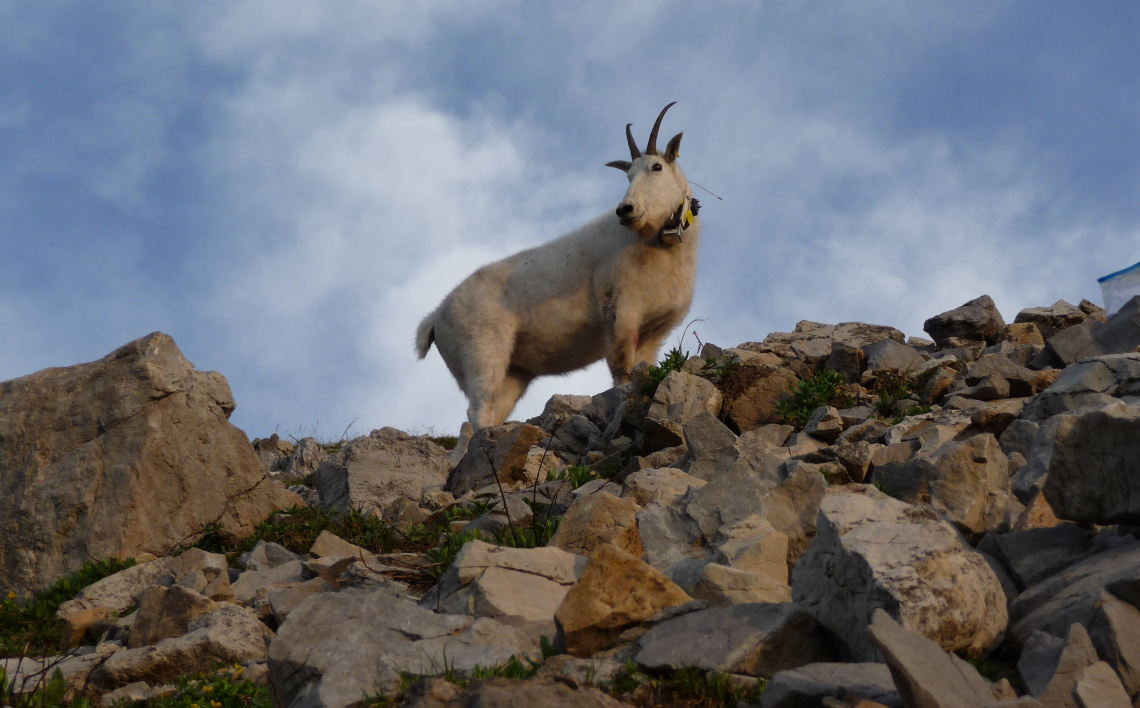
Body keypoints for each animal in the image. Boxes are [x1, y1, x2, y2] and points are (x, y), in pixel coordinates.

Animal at [416, 103, 700, 430]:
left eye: (657, 167)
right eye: (628, 176)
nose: (625, 210)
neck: (658, 247)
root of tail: (435, 318)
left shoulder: (653, 331)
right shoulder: (620, 314)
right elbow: (622, 372)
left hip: (514, 373)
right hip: (482, 354)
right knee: (477, 411)